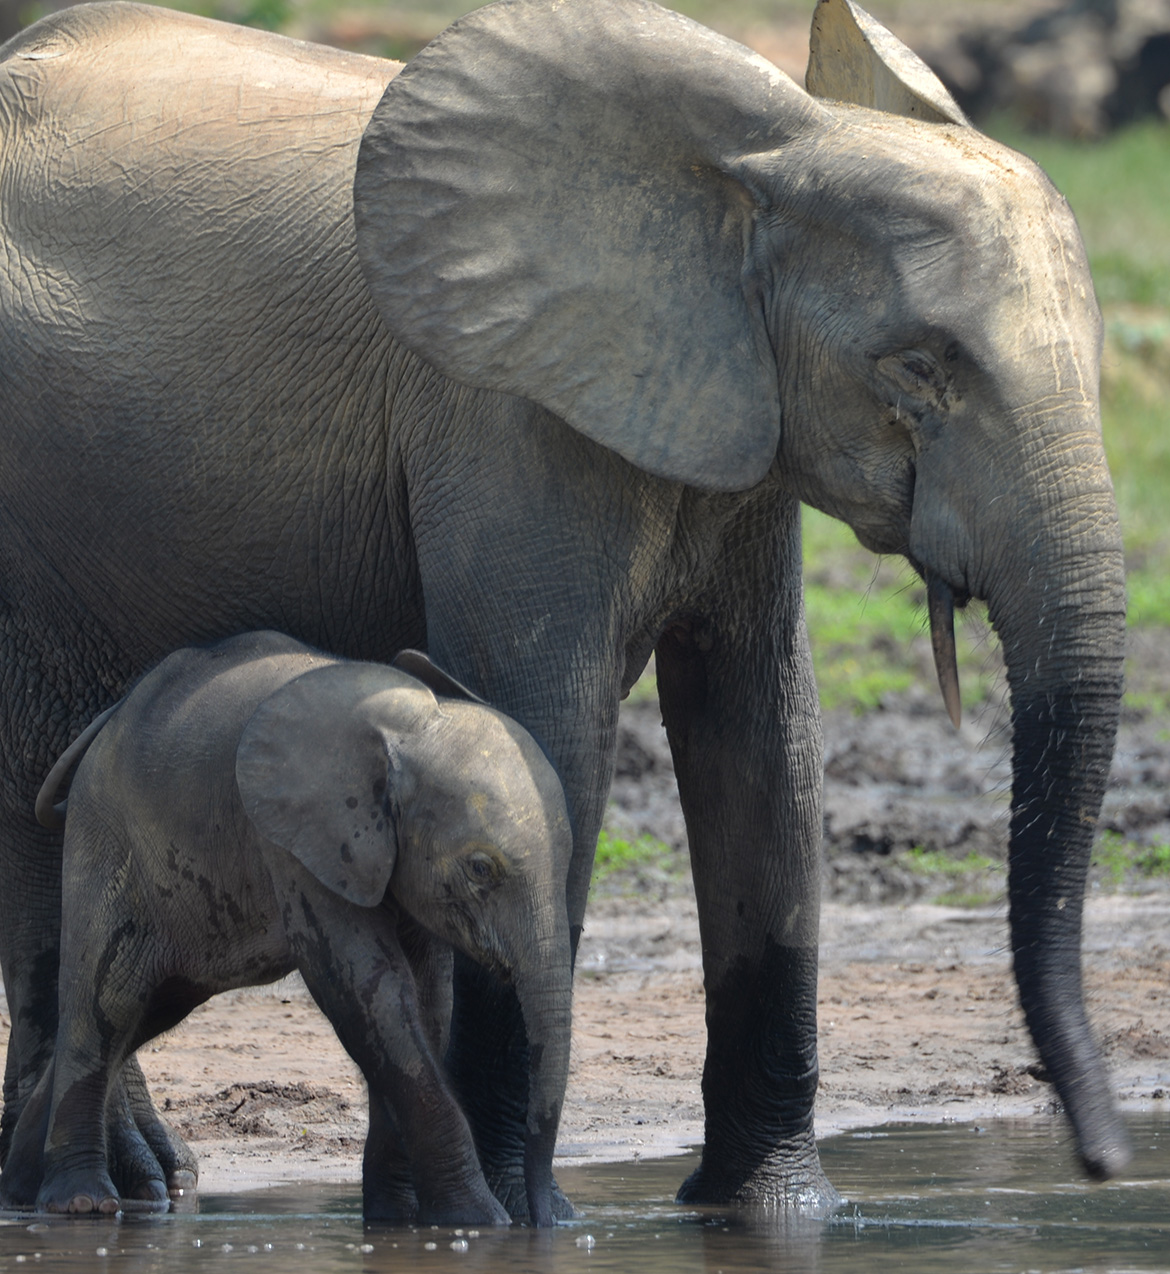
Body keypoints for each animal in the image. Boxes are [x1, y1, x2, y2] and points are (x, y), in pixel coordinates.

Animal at [0, 631, 573, 1224]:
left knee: (144, 1012)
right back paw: (80, 1203)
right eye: (481, 869)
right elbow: (368, 991)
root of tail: (110, 719)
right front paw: (478, 1223)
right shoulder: (298, 843)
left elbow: (424, 1002)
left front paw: (397, 1222)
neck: (409, 729)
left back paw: (20, 1194)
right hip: (104, 838)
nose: (546, 1221)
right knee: (106, 1006)